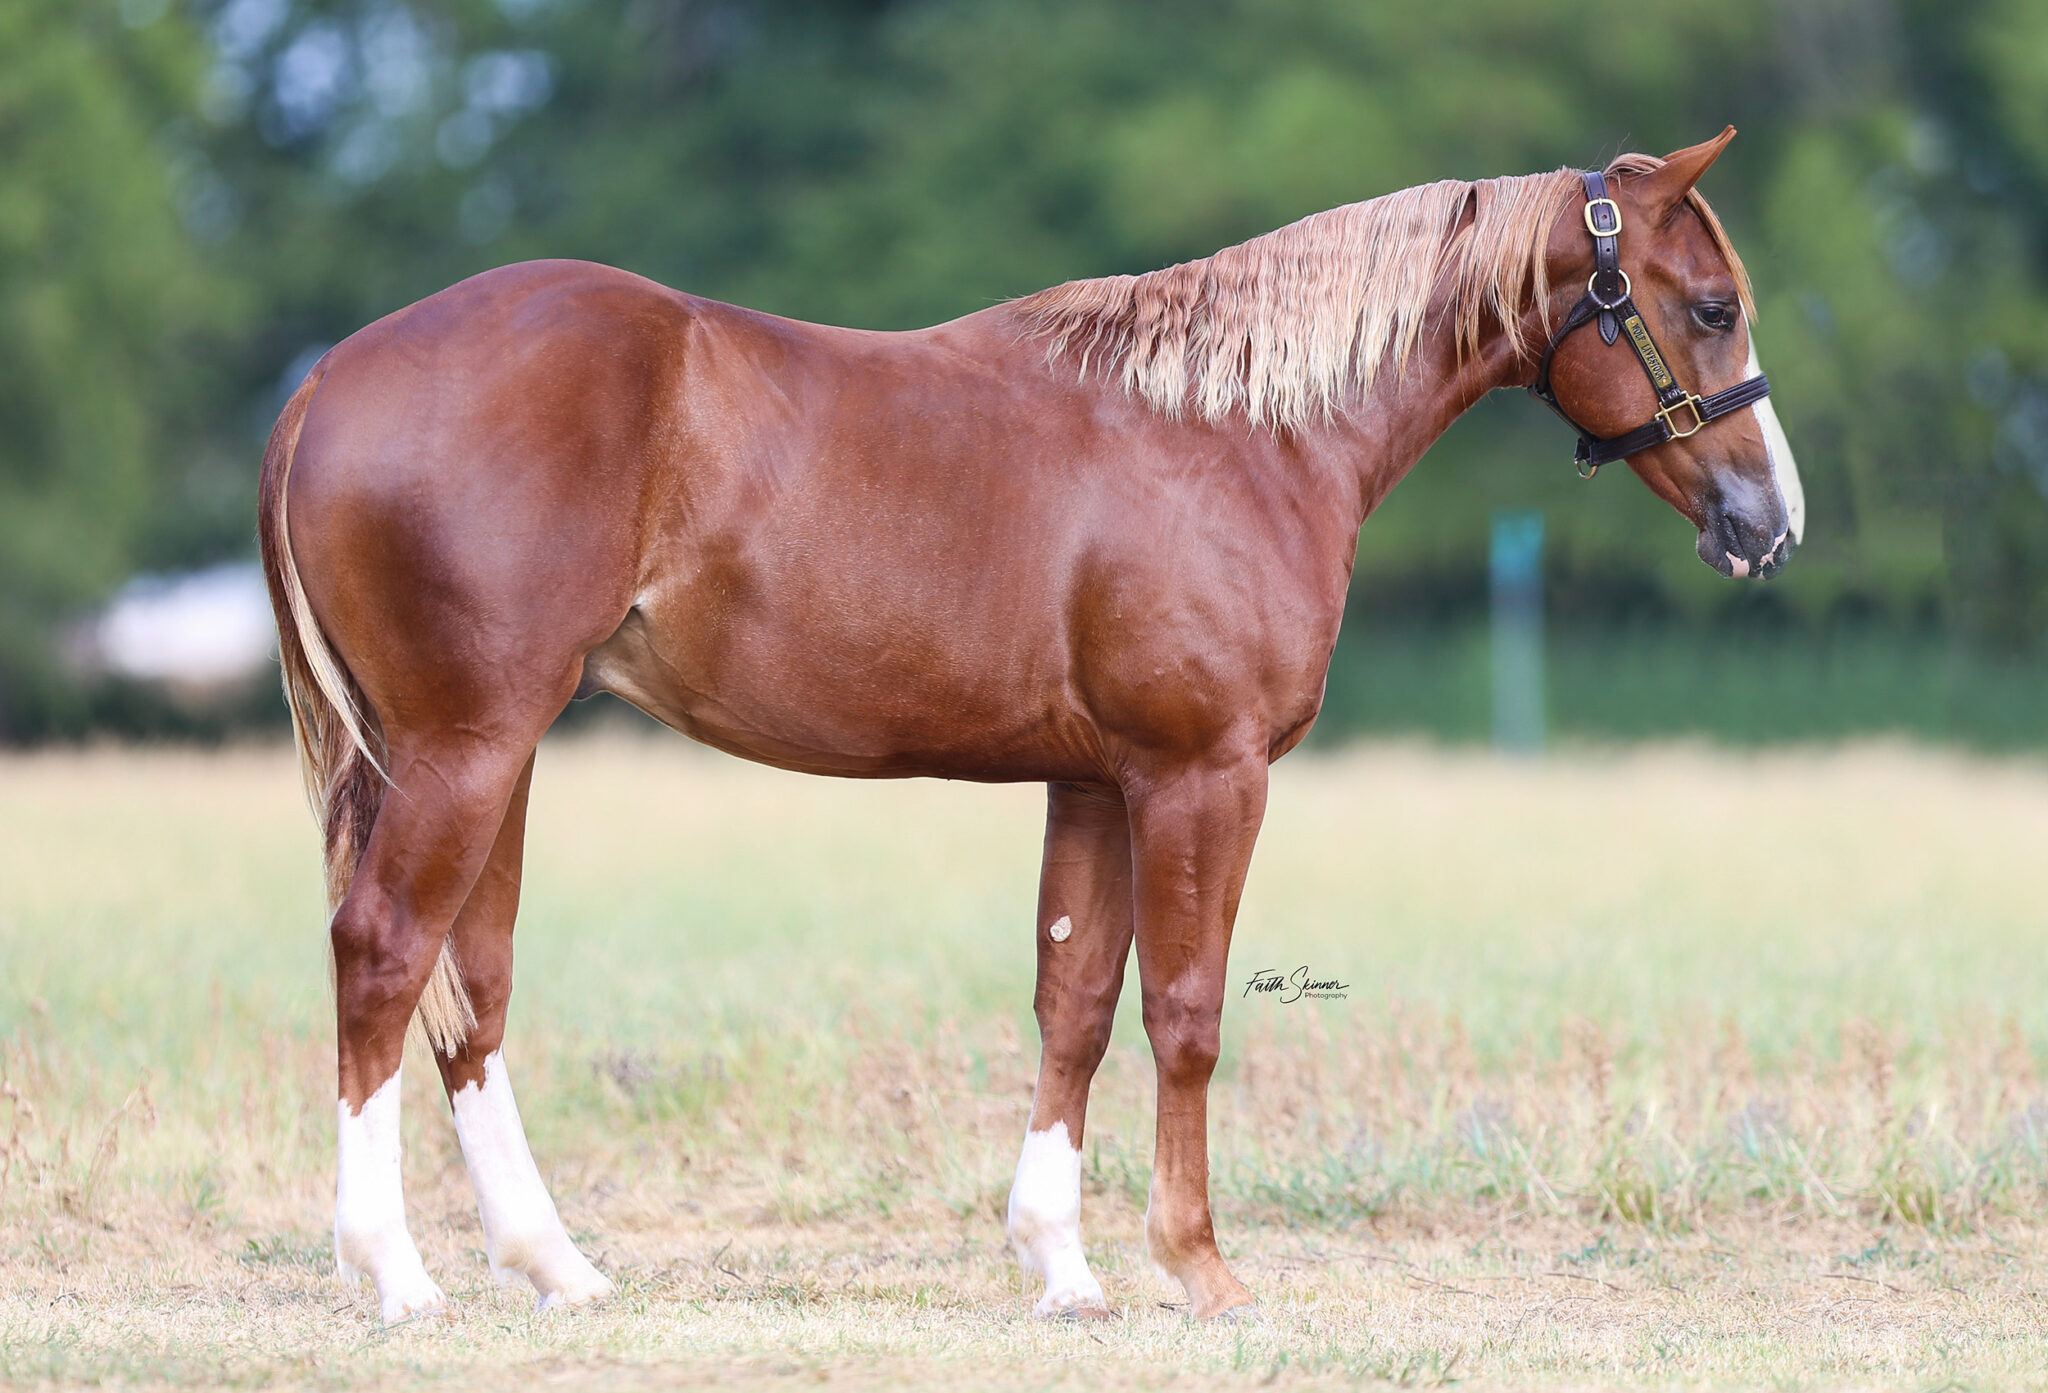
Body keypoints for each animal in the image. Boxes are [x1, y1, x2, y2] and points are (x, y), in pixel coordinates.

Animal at [258, 127, 1801, 1324]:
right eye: (1709, 305)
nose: (1768, 522)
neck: (1236, 432)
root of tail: (329, 378)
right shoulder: (1200, 776)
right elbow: (1184, 1010)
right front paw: (1198, 1268)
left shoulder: (1096, 784)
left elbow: (1075, 1002)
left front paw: (1062, 1266)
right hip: (463, 749)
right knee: (384, 954)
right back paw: (394, 1274)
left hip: (496, 754)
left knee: (472, 991)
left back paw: (553, 1266)